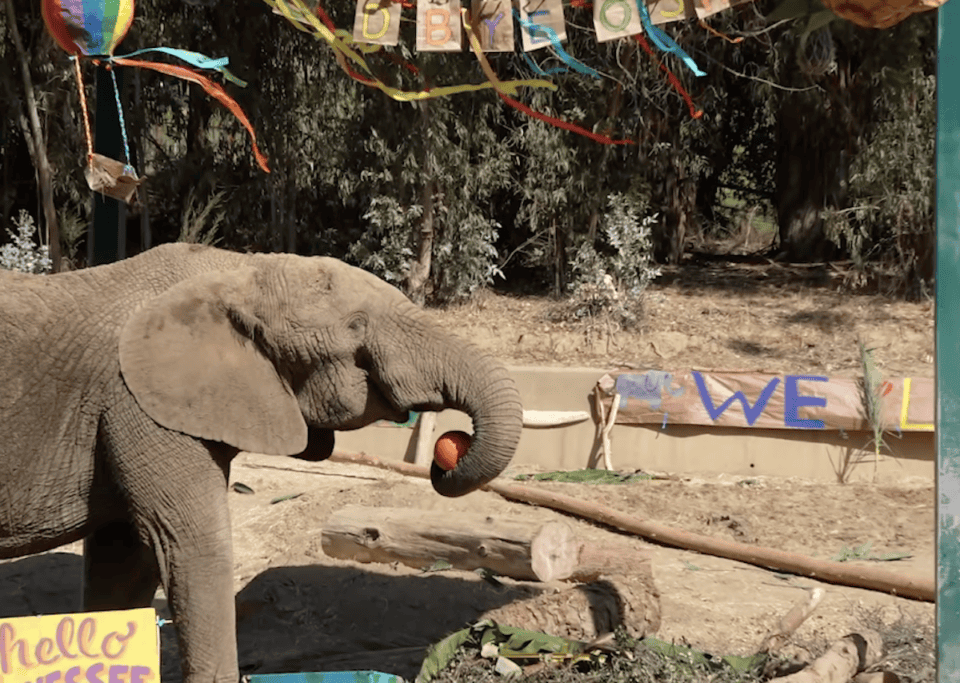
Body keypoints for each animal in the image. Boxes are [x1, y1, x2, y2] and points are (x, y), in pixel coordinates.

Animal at [0, 243, 523, 683]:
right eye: (356, 326)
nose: (444, 456)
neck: (235, 270)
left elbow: (127, 558)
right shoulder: (136, 404)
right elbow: (189, 546)